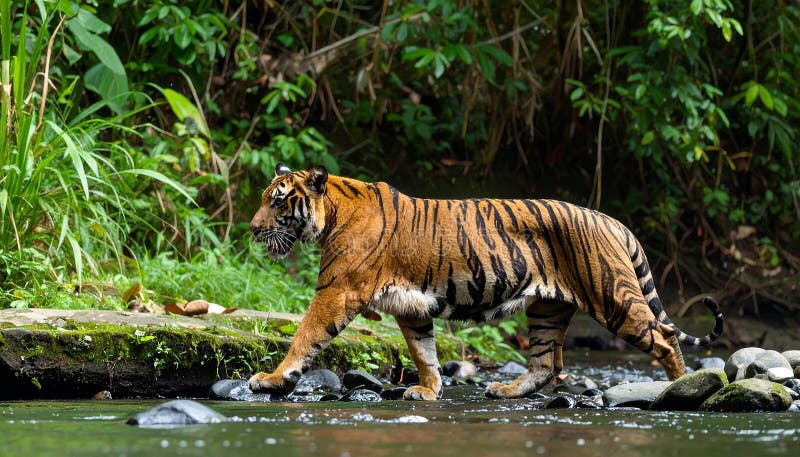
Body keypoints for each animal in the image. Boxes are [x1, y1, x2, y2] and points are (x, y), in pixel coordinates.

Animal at [247, 163, 724, 401]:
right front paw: (429, 390)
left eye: (278, 202)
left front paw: (272, 378)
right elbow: (424, 352)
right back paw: (506, 389)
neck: (331, 215)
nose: (252, 229)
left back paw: (678, 389)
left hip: (613, 297)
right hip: (548, 308)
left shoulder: (337, 290)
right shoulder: (411, 307)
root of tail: (611, 220)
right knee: (547, 364)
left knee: (664, 336)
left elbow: (305, 334)